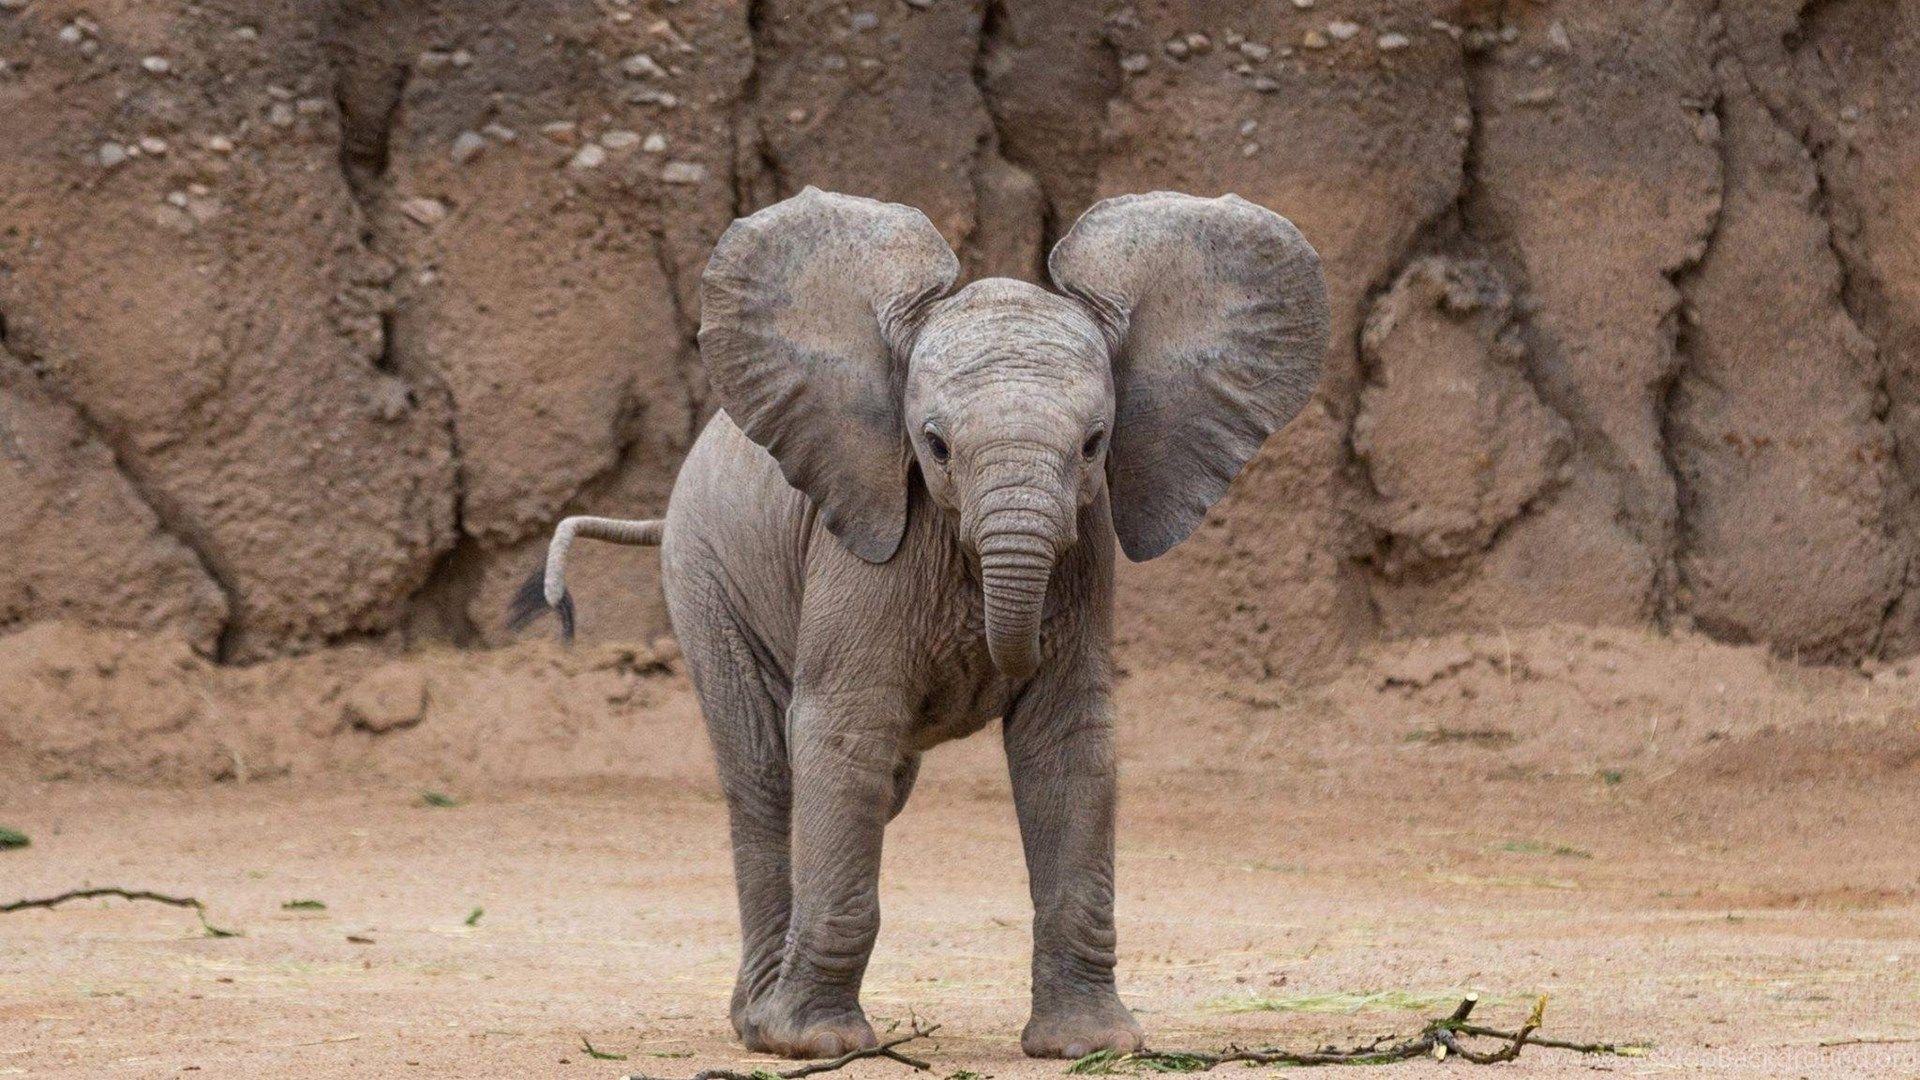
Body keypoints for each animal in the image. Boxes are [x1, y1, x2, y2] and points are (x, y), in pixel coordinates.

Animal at [510, 187, 1328, 1060]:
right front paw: (817, 1045)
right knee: (766, 775)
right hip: (703, 576)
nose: (1003, 651)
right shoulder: (861, 549)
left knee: (868, 787)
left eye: (1094, 444)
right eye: (933, 445)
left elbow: (1067, 741)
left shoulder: (1086, 551)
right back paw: (760, 1024)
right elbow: (843, 733)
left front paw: (1089, 1046)